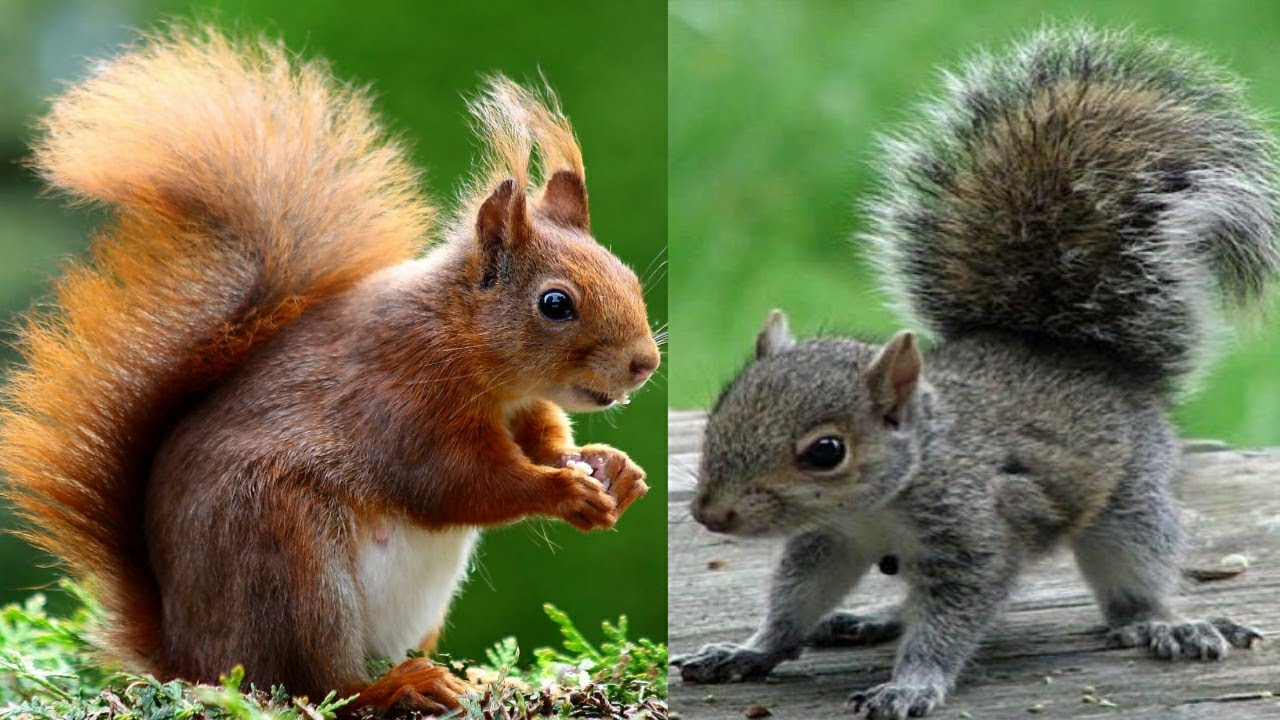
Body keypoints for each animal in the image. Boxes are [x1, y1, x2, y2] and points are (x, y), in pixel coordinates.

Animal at [0, 27, 659, 714]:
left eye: (627, 275)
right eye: (555, 303)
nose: (645, 363)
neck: (468, 345)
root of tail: (188, 654)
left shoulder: (523, 406)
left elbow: (544, 442)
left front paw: (612, 469)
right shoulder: (405, 400)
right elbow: (459, 484)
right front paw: (563, 492)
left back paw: (478, 679)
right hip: (291, 564)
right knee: (316, 682)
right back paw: (400, 685)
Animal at [674, 26, 1276, 720]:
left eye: (826, 452)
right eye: (719, 415)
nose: (711, 515)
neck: (889, 495)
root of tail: (1077, 353)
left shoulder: (978, 536)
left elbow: (951, 621)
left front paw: (911, 684)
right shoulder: (830, 539)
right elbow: (795, 599)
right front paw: (749, 651)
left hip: (1132, 503)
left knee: (1134, 582)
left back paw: (1163, 623)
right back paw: (873, 618)